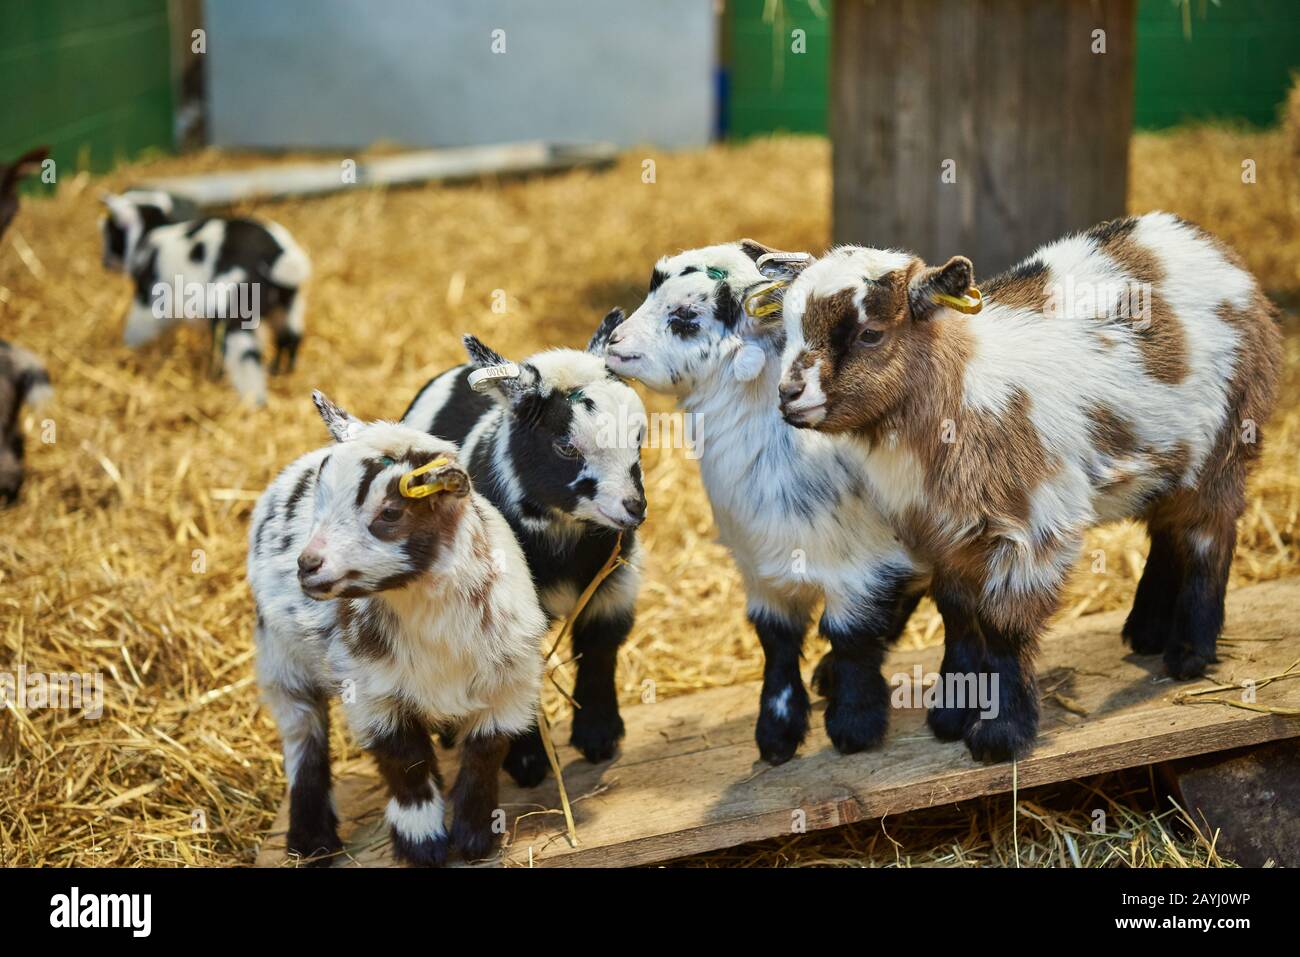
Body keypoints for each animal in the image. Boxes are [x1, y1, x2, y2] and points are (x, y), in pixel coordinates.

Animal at [101, 192, 309, 406]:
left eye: (110, 231)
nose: (104, 262)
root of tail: (277, 255)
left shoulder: (149, 295)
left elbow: (137, 326)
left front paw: (128, 348)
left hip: (236, 308)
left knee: (245, 355)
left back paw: (251, 398)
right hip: (288, 305)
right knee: (289, 338)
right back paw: (281, 372)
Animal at [249, 391, 547, 865]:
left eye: (390, 512)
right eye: (319, 503)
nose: (307, 565)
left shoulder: (511, 685)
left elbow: (484, 754)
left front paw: (474, 836)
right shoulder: (372, 693)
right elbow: (405, 764)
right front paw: (422, 842)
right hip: (281, 657)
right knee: (303, 737)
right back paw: (311, 839)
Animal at [400, 310, 646, 785]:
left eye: (639, 438)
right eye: (565, 446)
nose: (634, 507)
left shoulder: (613, 582)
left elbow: (601, 645)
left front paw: (599, 734)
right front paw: (527, 760)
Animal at [606, 241, 931, 764]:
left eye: (686, 315)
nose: (615, 342)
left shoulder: (862, 567)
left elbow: (853, 637)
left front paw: (855, 726)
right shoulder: (762, 572)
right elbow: (776, 644)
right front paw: (777, 735)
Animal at [778, 212, 1282, 762]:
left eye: (870, 333)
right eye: (788, 328)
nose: (788, 394)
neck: (961, 388)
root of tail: (1204, 242)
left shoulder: (1032, 528)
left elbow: (1003, 629)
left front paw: (1001, 734)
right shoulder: (942, 532)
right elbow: (959, 616)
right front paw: (952, 713)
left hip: (1225, 442)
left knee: (1207, 535)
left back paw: (1189, 651)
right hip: (1171, 458)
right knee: (1170, 528)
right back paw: (1147, 629)